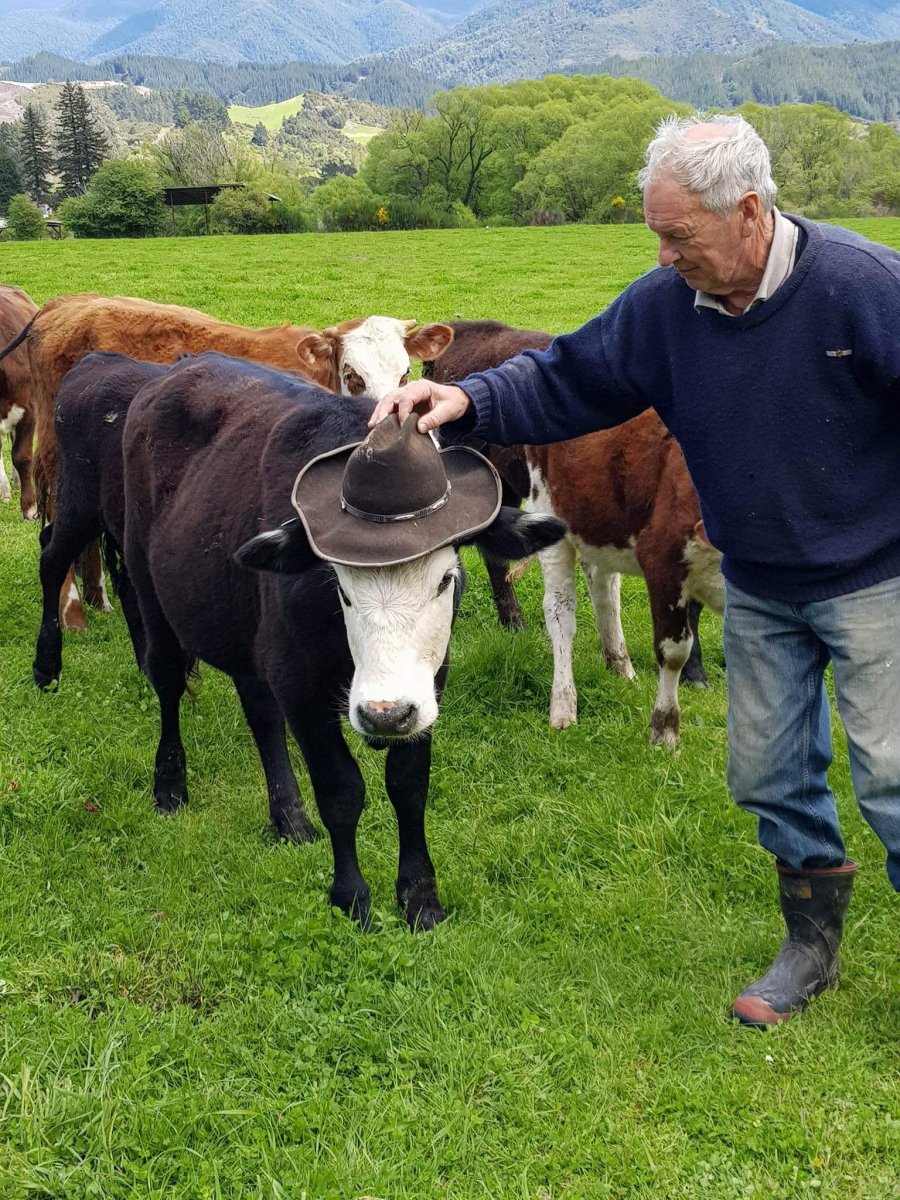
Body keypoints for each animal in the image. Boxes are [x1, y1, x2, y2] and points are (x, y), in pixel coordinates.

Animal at [0, 292, 453, 632]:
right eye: (353, 375)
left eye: (406, 374)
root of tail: (64, 304)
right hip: (58, 455)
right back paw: (73, 609)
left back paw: (98, 596)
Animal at [43, 352, 563, 927]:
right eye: (340, 586)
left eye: (446, 580)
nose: (384, 715)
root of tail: (160, 374)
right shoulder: (300, 685)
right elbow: (341, 789)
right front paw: (351, 896)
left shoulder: (426, 688)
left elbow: (408, 785)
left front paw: (420, 898)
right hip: (148, 587)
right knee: (166, 681)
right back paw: (162, 777)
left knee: (259, 713)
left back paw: (288, 816)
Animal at [425, 320, 724, 745]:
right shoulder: (665, 555)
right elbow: (673, 646)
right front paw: (668, 728)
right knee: (556, 608)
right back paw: (559, 695)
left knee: (601, 590)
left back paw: (618, 665)